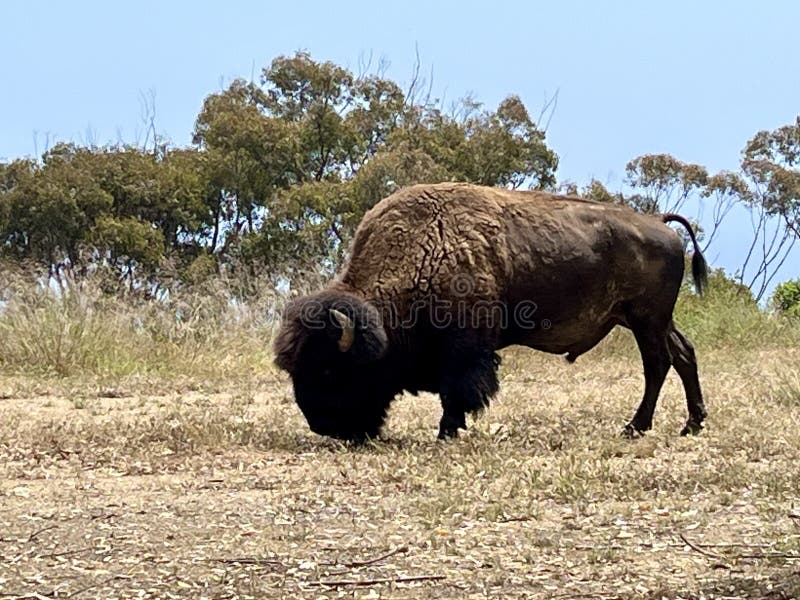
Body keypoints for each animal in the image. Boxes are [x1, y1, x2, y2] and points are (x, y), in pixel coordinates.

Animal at [274, 182, 708, 441]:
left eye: (329, 369)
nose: (322, 425)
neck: (423, 251)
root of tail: (659, 223)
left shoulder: (465, 348)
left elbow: (458, 390)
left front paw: (448, 431)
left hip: (645, 320)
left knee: (657, 363)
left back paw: (635, 427)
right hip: (650, 320)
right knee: (684, 354)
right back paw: (691, 424)